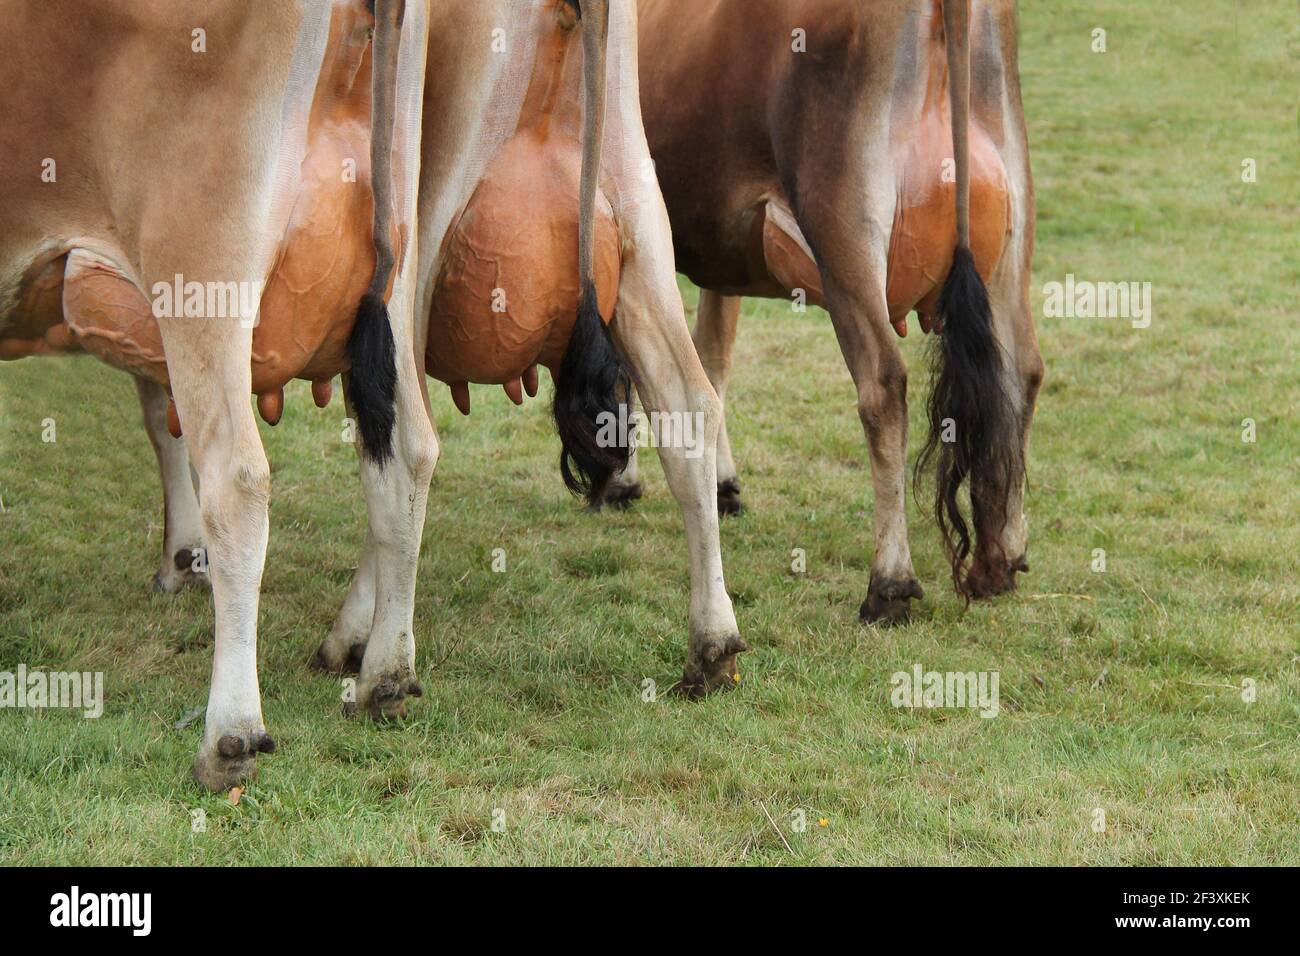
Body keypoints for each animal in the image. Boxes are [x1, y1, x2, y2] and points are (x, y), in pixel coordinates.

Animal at [0, 0, 438, 789]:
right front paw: (179, 559)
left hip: (200, 263)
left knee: (238, 478)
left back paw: (230, 733)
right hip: (395, 264)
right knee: (408, 452)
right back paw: (384, 675)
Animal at [608, 0, 1044, 623]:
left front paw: (621, 481)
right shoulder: (725, 254)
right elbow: (713, 357)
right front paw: (723, 484)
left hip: (844, 229)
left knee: (883, 384)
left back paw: (890, 583)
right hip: (1012, 234)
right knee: (1021, 372)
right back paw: (1000, 557)